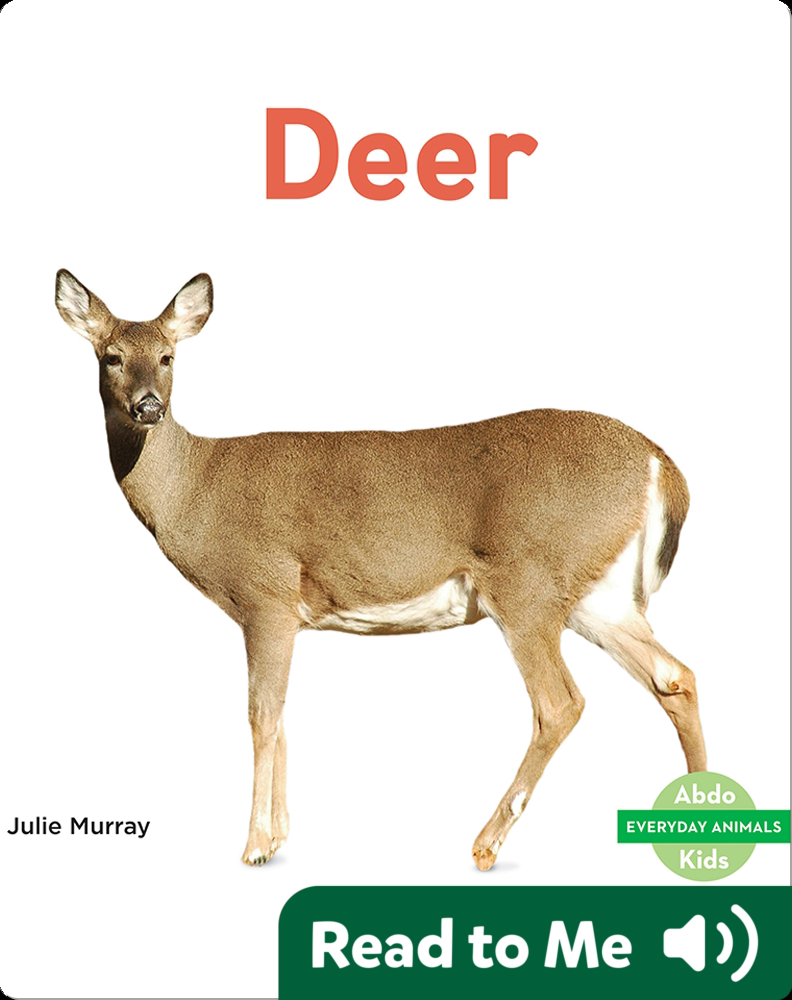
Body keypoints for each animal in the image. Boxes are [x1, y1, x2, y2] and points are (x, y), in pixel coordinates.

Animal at [55, 269, 707, 870]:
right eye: (112, 357)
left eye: (168, 357)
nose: (149, 406)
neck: (197, 490)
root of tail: (661, 464)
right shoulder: (281, 615)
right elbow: (282, 713)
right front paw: (282, 835)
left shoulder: (265, 591)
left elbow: (261, 714)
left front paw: (256, 845)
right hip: (600, 594)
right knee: (674, 676)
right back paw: (703, 823)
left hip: (527, 584)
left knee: (561, 703)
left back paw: (485, 844)